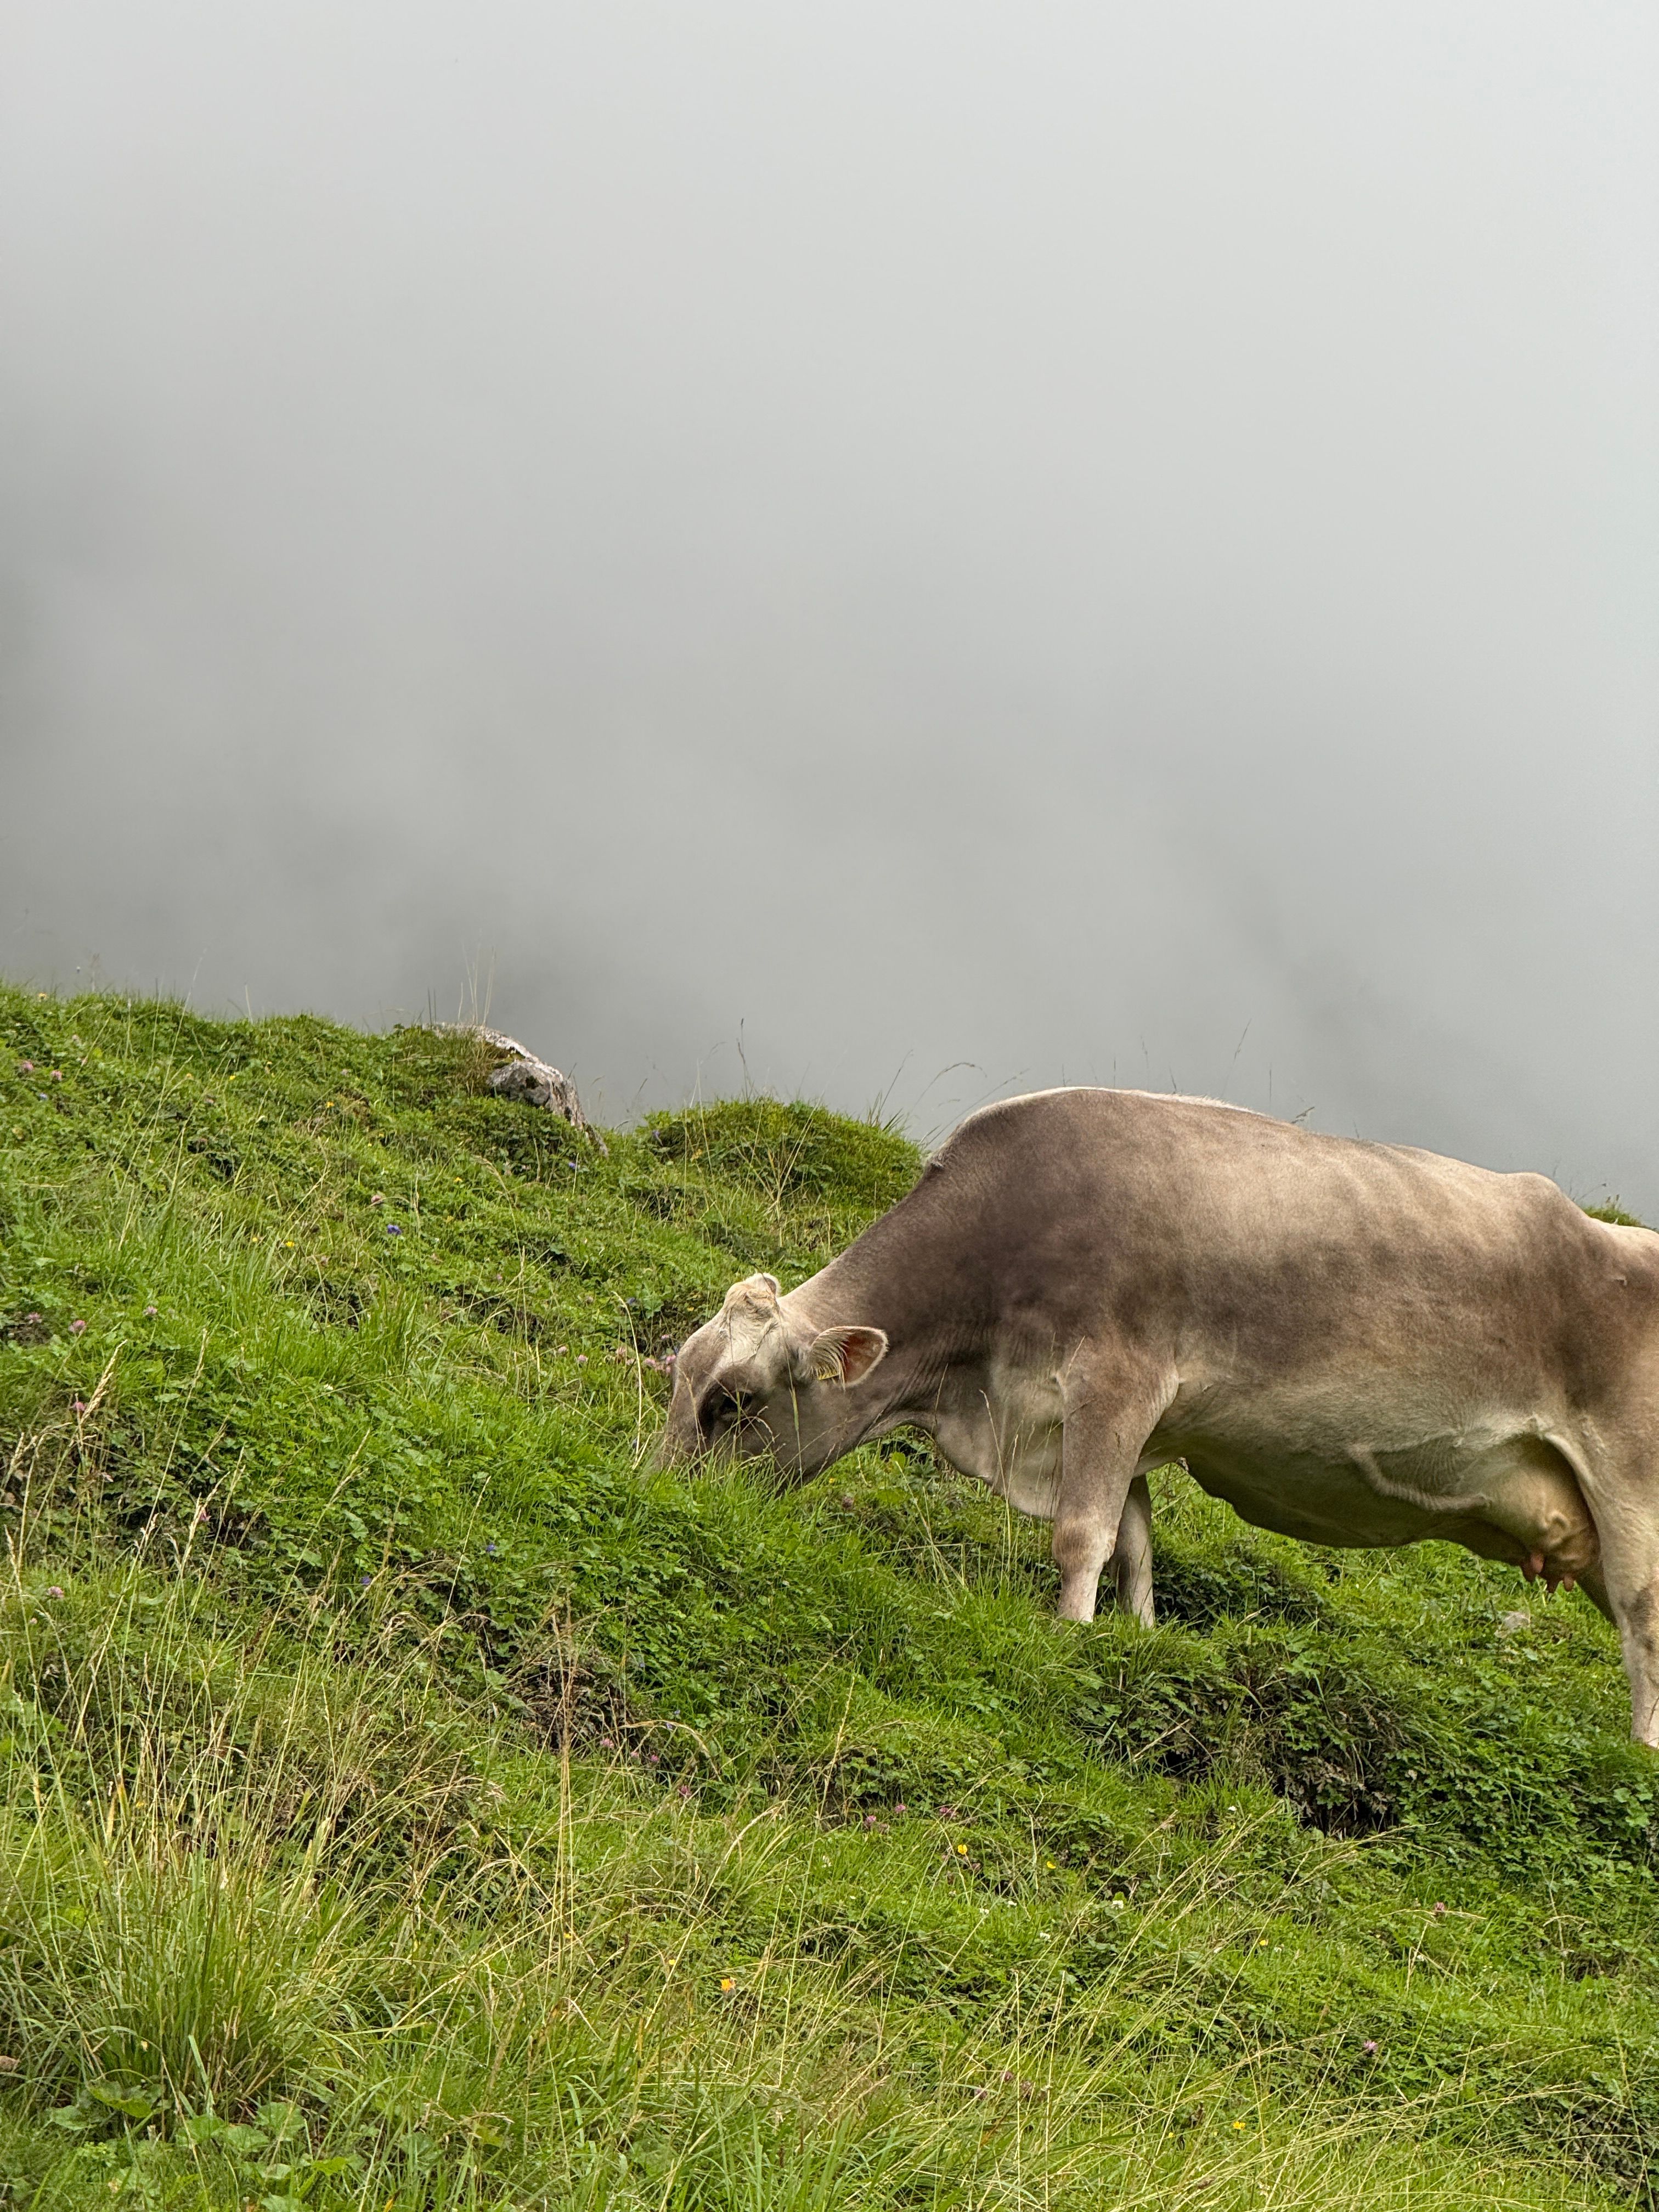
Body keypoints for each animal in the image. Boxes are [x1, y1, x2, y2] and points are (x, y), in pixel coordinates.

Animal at [661, 1088, 1659, 1743]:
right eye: (678, 1381)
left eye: (730, 1404)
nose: (665, 1498)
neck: (974, 1399)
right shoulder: (1125, 1421)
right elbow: (1134, 1541)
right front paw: (1137, 1642)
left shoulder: (1116, 1375)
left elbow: (1080, 1534)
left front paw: (1067, 1638)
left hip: (1633, 1489)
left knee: (1642, 1619)